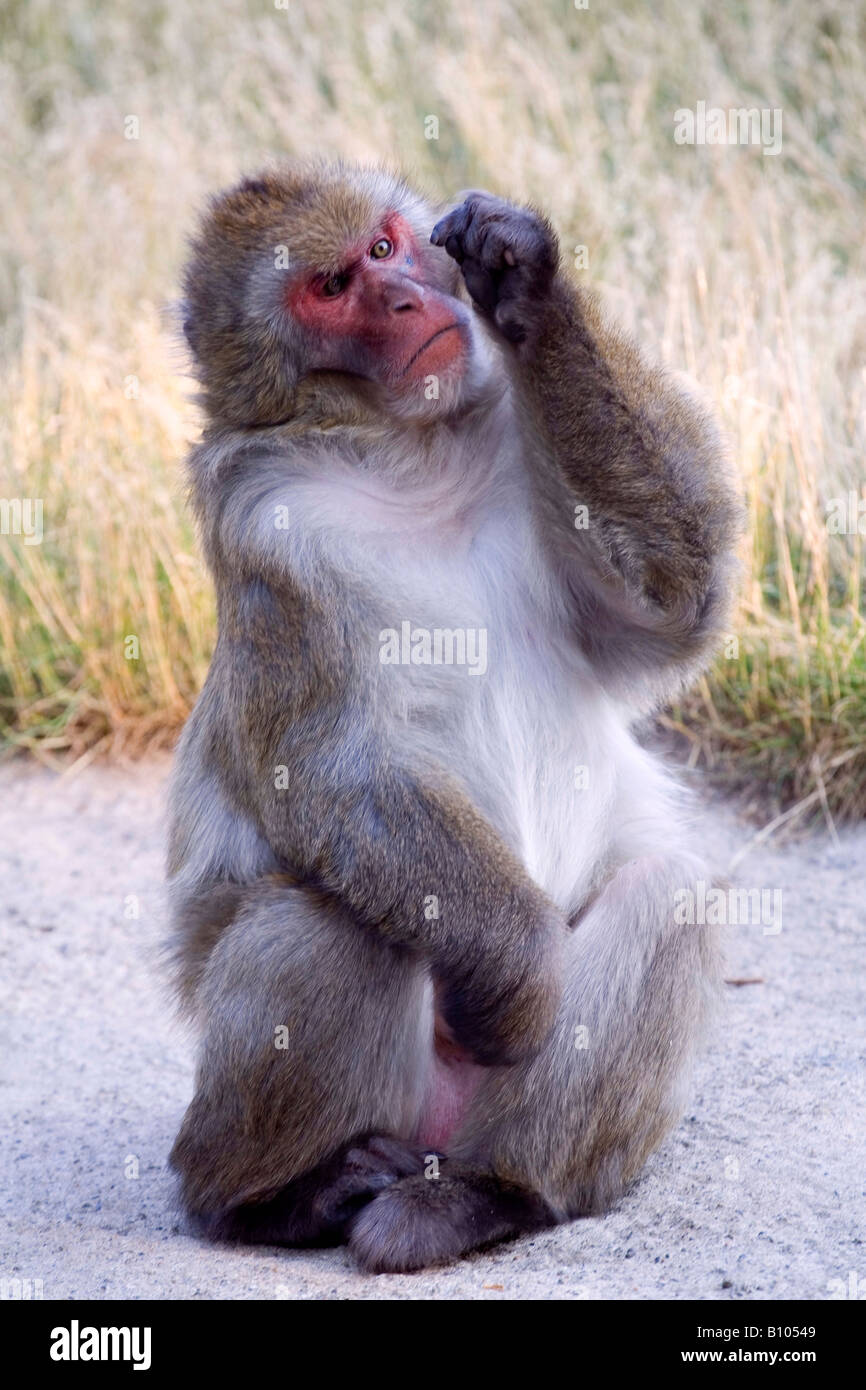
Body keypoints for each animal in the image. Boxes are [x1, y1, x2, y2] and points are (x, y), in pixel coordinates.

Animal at [166, 159, 741, 1274]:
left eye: (388, 247)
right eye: (332, 286)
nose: (404, 297)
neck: (411, 453)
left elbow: (672, 605)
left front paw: (524, 284)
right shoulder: (267, 530)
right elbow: (333, 767)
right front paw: (519, 976)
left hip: (481, 1124)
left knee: (667, 896)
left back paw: (486, 1196)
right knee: (329, 924)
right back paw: (272, 1200)